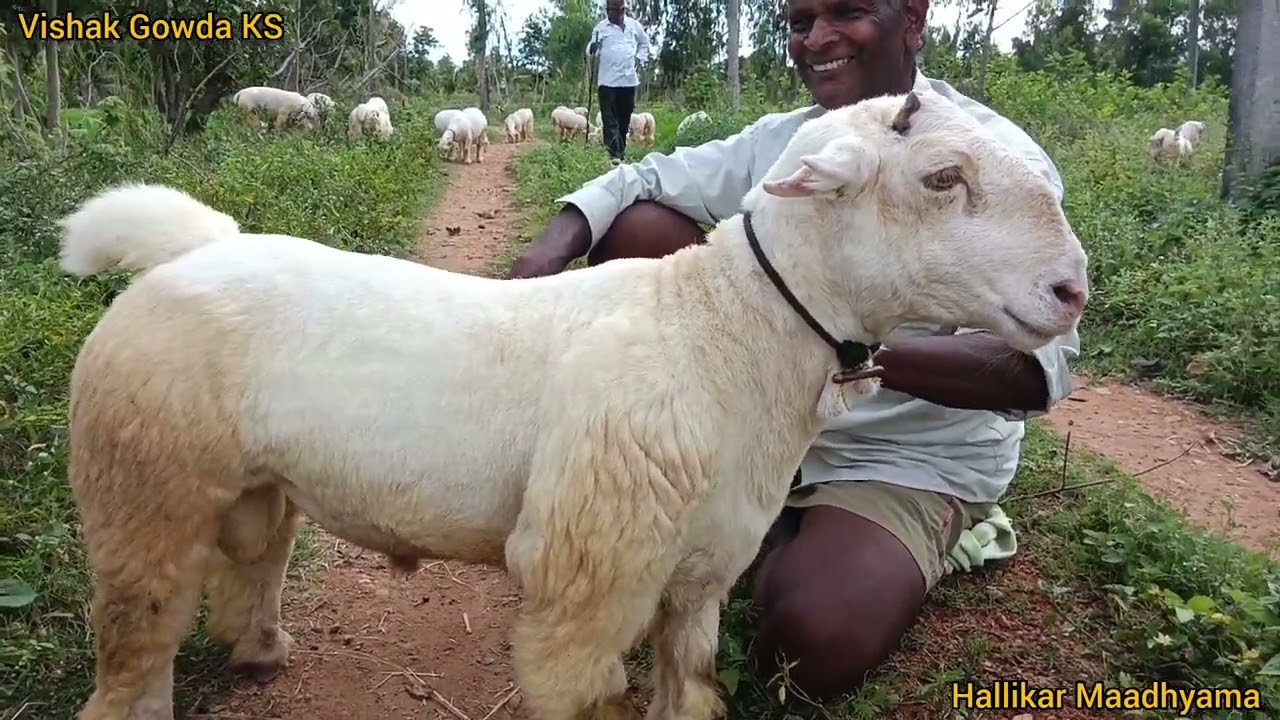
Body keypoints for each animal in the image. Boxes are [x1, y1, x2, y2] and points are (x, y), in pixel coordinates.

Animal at [56, 89, 1089, 720]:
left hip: (255, 485)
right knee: (137, 640)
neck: (723, 332)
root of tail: (186, 251)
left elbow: (691, 684)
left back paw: (262, 649)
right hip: (144, 487)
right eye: (942, 177)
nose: (1072, 292)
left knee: (254, 563)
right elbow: (580, 691)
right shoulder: (585, 573)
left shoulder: (701, 573)